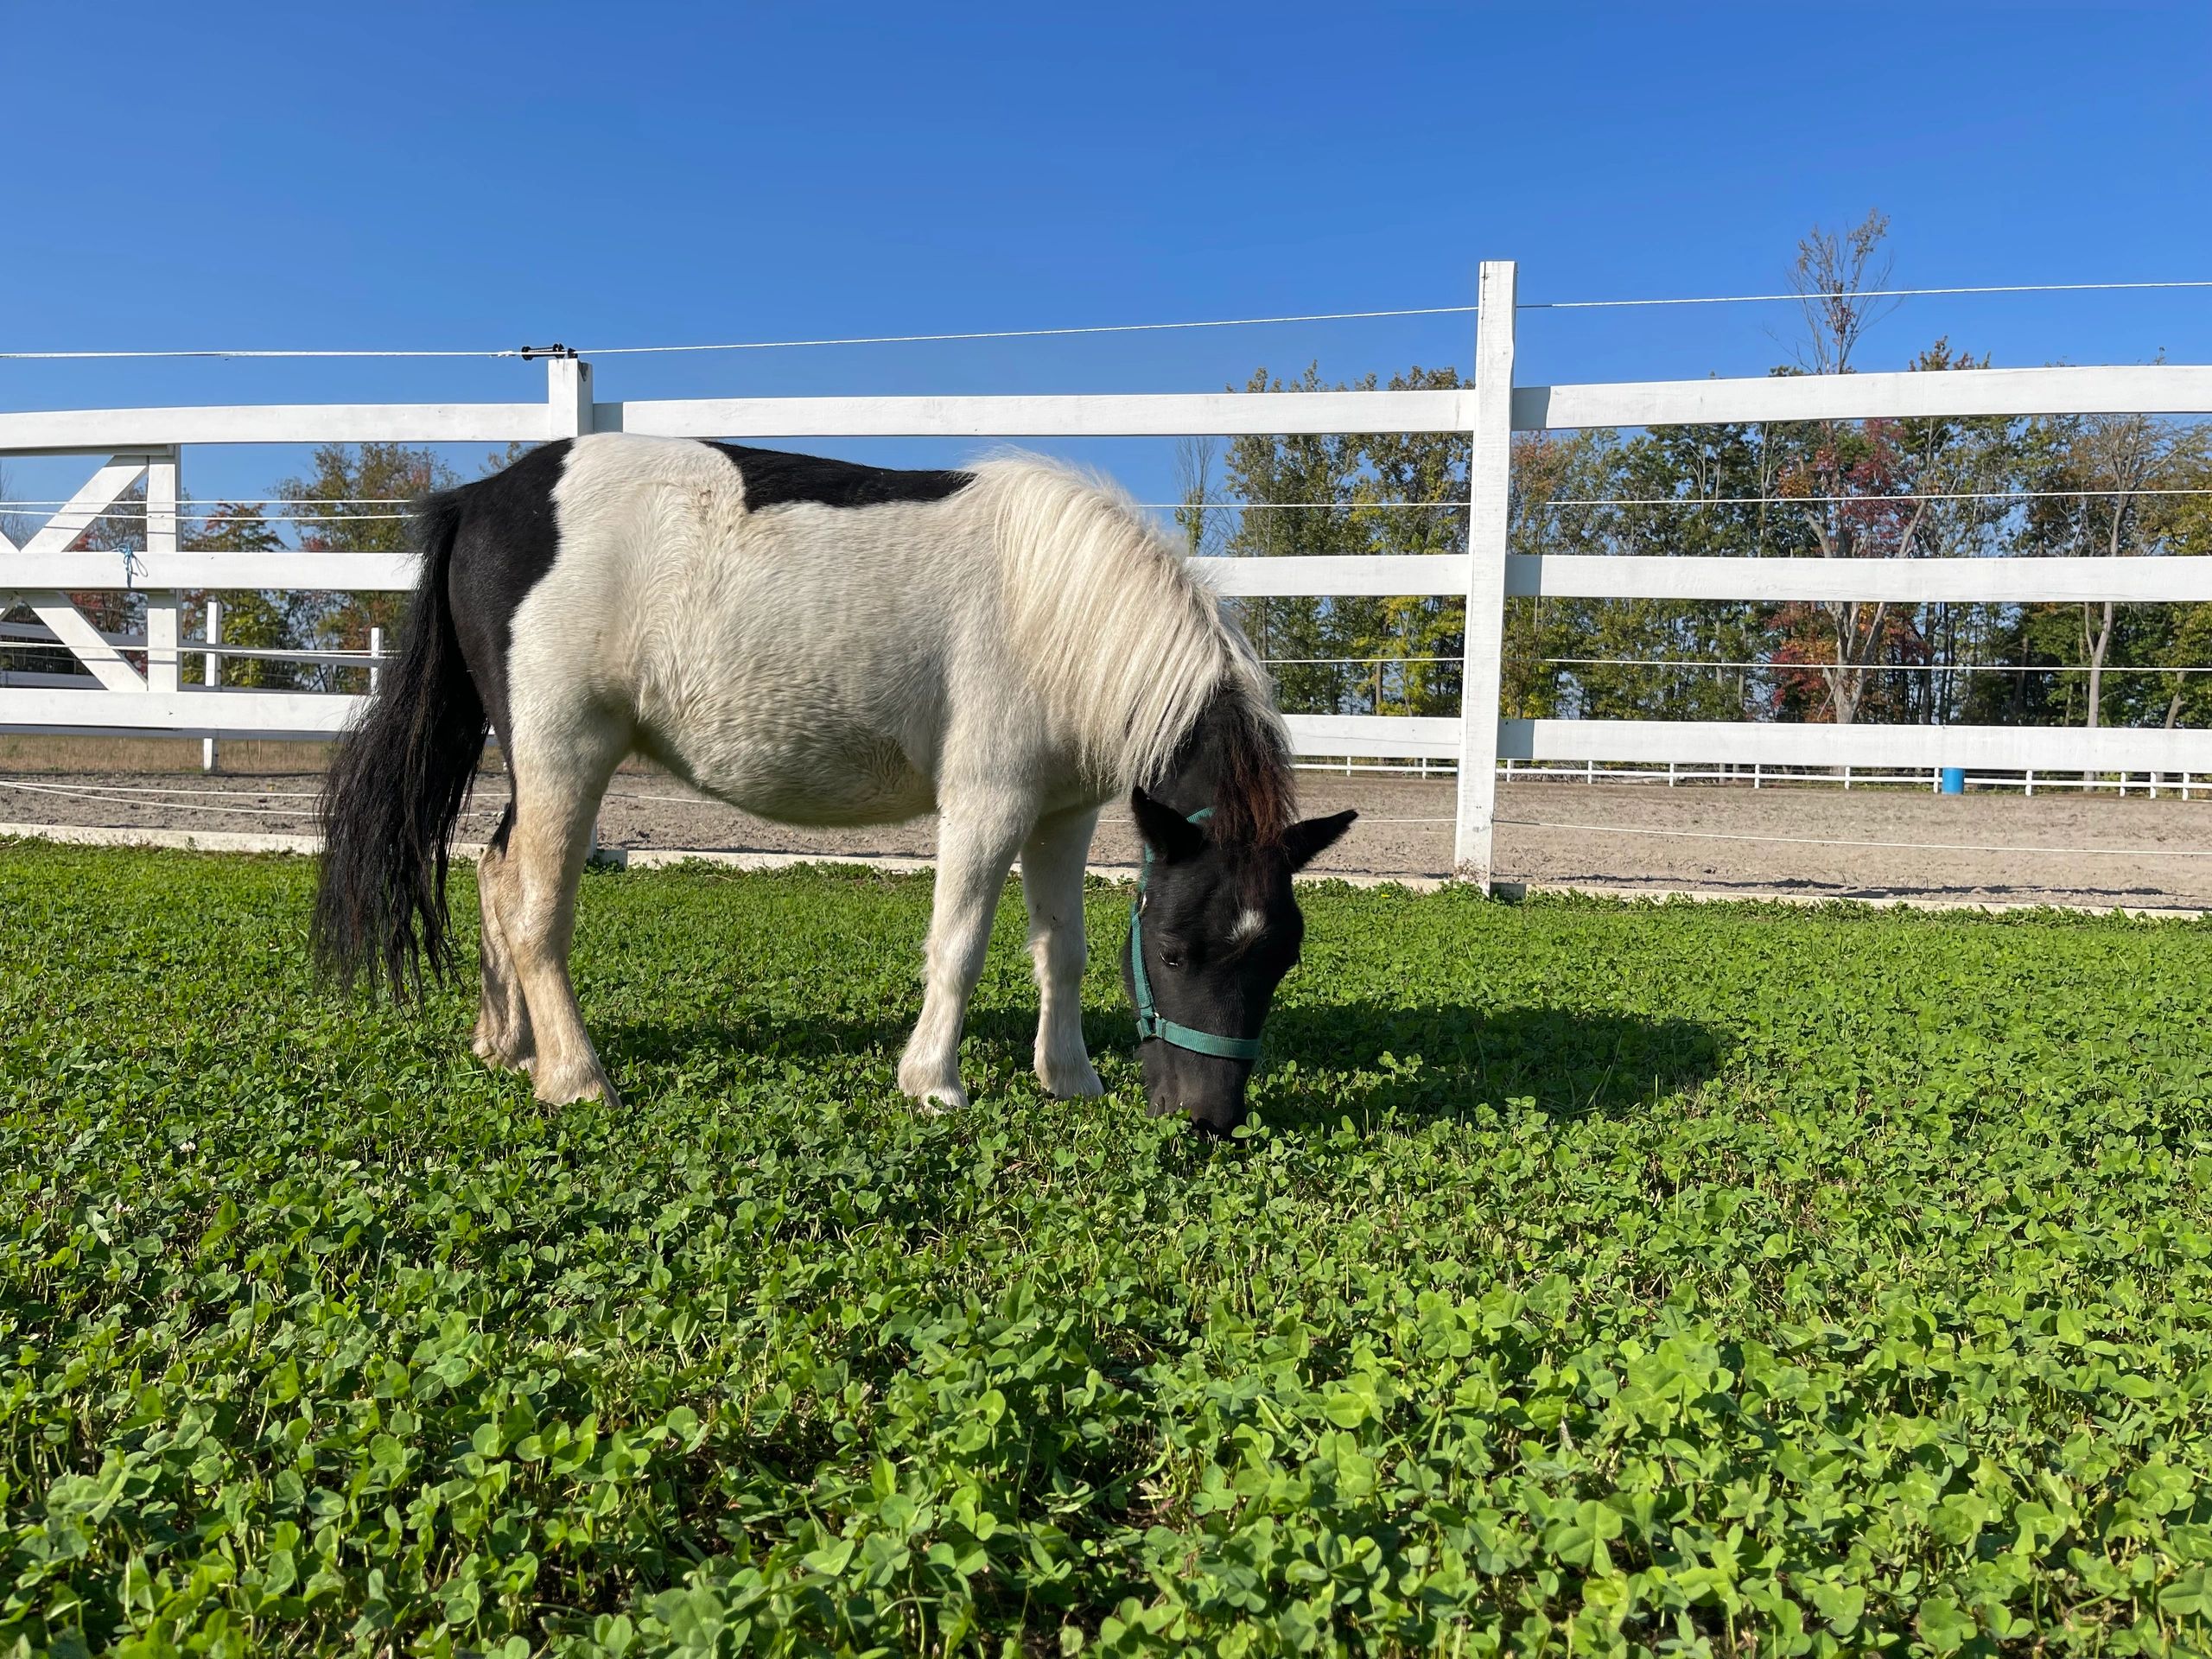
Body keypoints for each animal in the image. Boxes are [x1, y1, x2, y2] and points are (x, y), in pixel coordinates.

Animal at [311, 434, 1355, 1132]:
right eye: (1175, 952)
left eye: (1282, 958)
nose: (1208, 1118)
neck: (1058, 612)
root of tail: (483, 498)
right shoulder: (987, 804)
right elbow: (959, 946)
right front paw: (933, 1081)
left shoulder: (1062, 816)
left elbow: (1062, 950)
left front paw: (1067, 1077)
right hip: (563, 753)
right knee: (533, 908)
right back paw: (573, 1076)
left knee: (491, 874)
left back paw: (506, 1043)